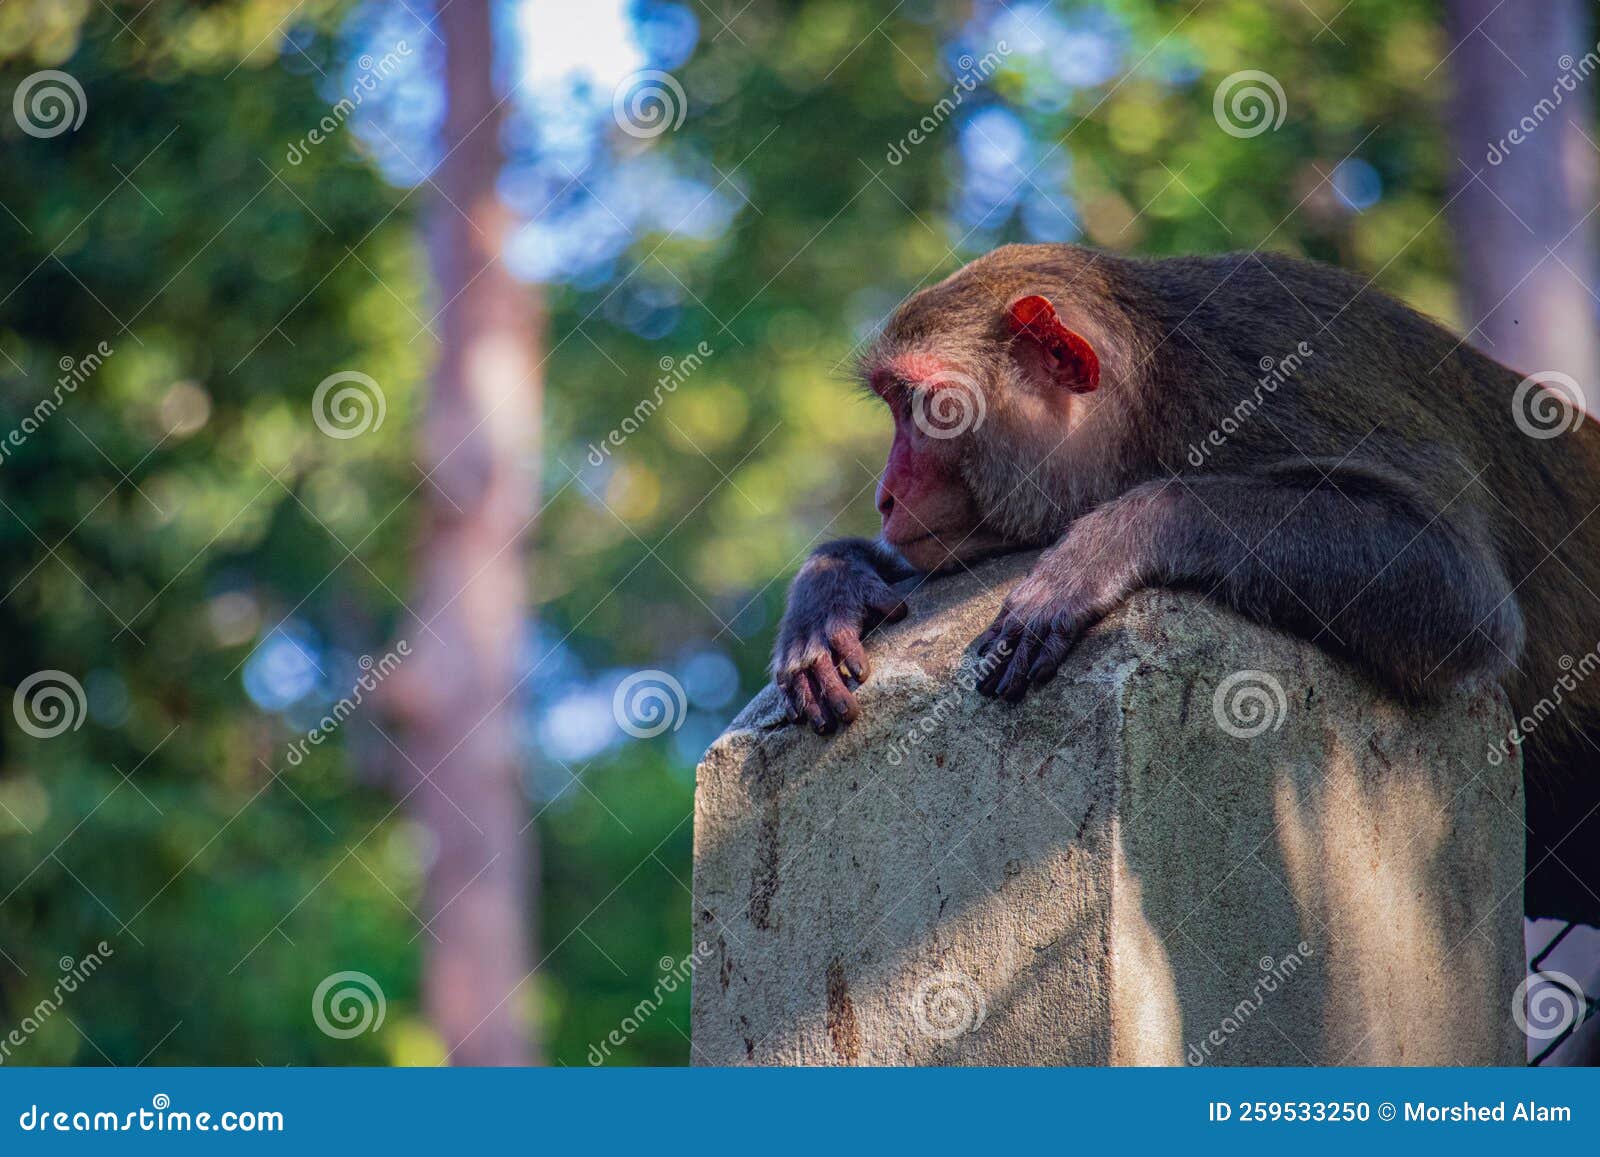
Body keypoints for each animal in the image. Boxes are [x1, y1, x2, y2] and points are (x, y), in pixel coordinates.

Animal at [771, 242, 1600, 928]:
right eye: (891, 403)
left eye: (921, 406)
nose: (884, 494)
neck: (1157, 393)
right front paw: (829, 590)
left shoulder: (1269, 379)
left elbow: (1463, 596)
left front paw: (1109, 541)